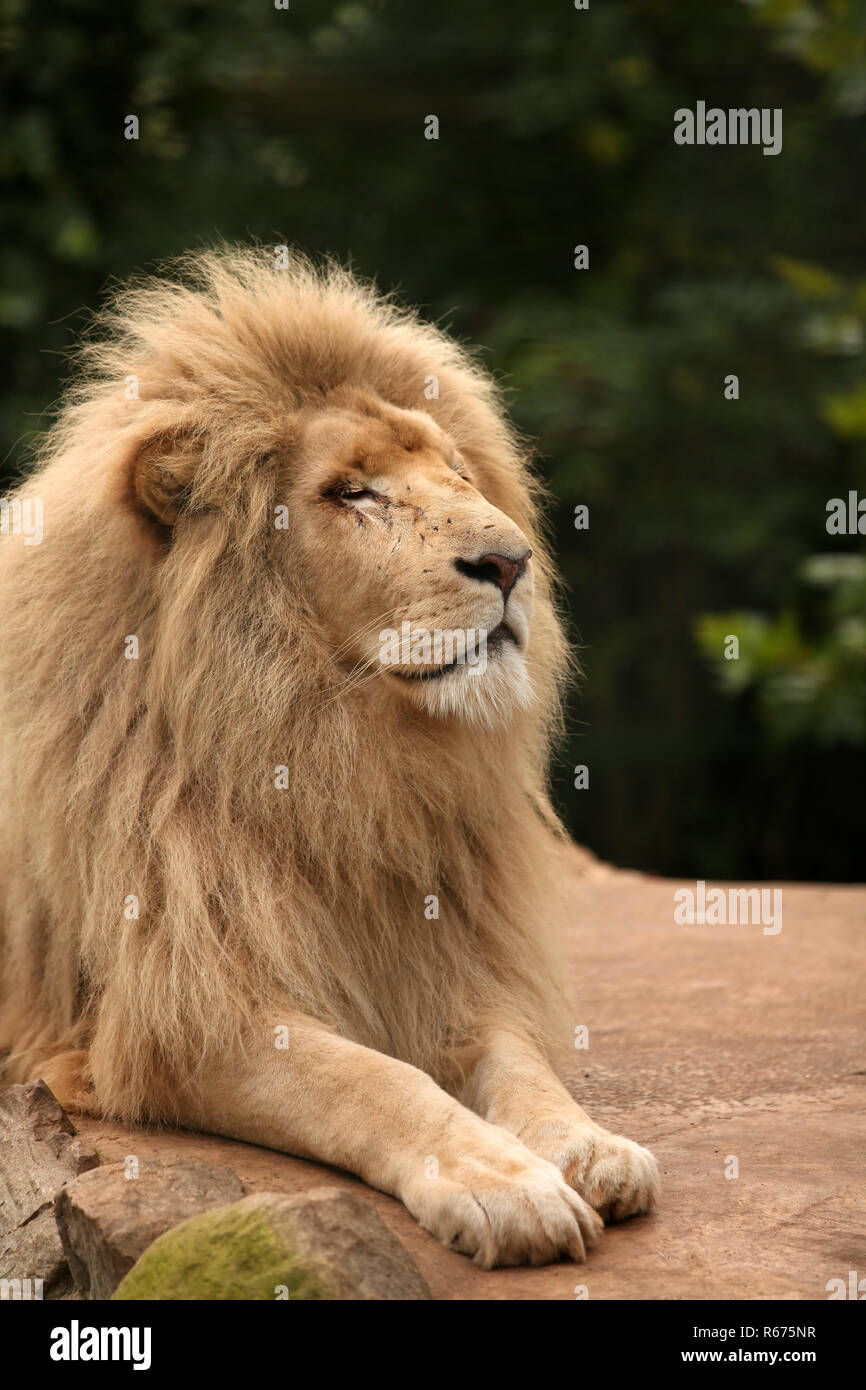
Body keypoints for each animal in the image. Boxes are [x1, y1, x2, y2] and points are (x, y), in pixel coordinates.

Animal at [0, 248, 658, 1268]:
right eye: (353, 493)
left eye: (460, 474)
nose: (512, 563)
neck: (334, 761)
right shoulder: (178, 1019)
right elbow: (374, 1082)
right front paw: (505, 1184)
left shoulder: (450, 958)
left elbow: (523, 1066)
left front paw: (587, 1146)